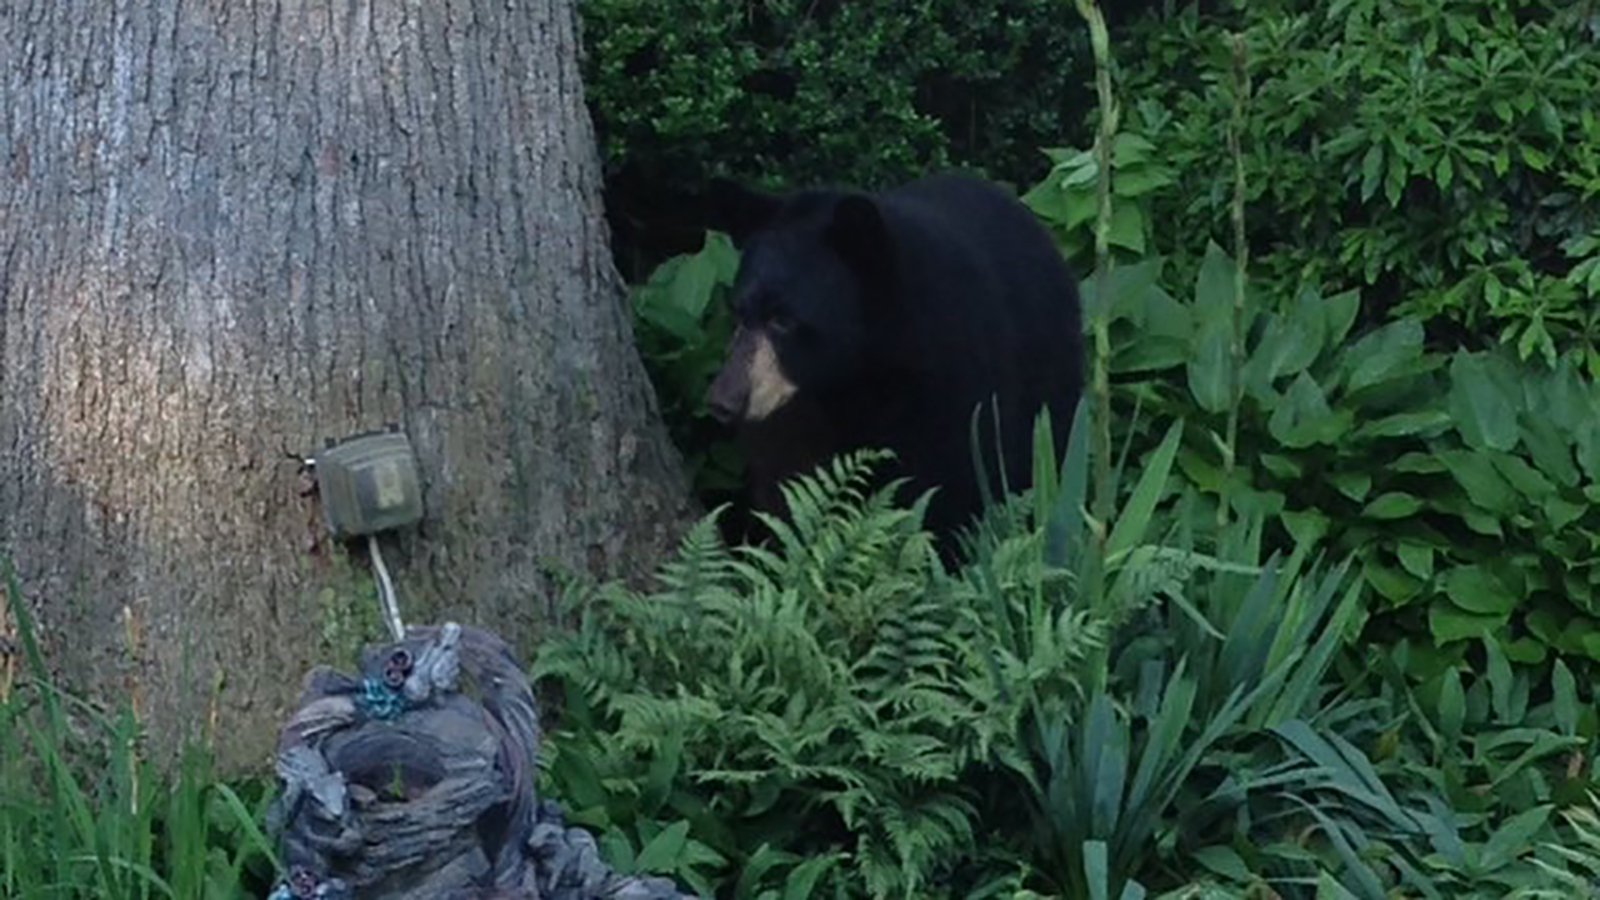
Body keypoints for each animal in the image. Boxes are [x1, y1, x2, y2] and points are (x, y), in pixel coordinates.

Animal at [702, 171, 1085, 559]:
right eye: (739, 311)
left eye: (783, 319)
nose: (723, 400)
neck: (854, 375)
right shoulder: (786, 423)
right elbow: (787, 497)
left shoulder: (950, 385)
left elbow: (946, 493)